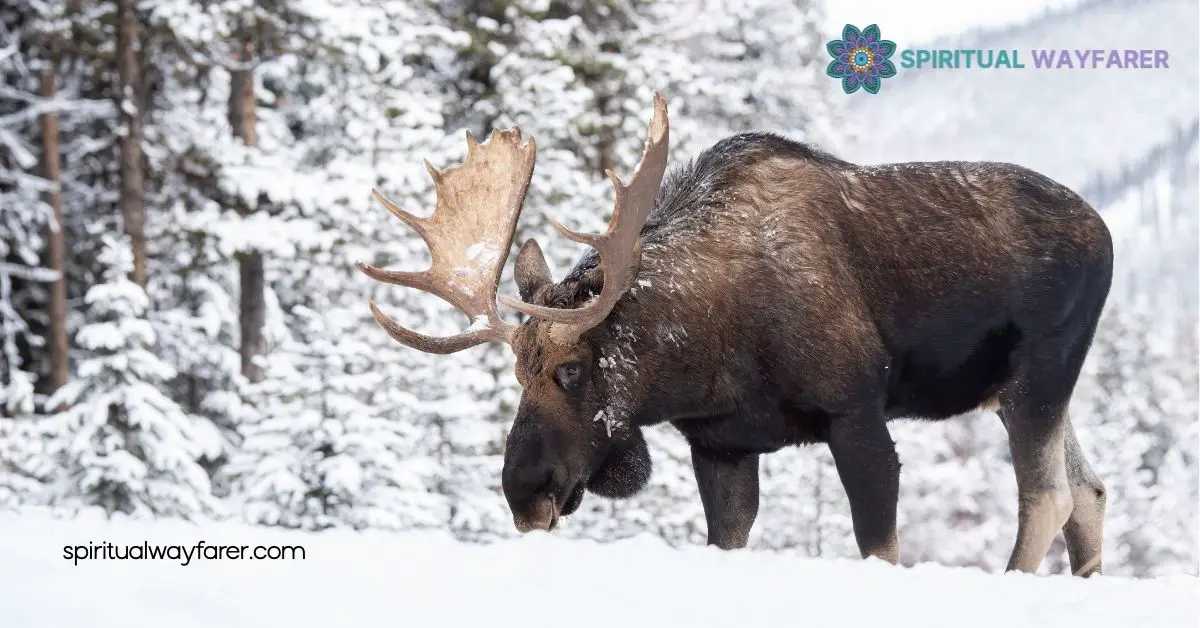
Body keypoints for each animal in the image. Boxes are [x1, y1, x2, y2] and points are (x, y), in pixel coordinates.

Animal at [357, 92, 1113, 576]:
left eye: (572, 369)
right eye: (517, 372)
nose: (524, 491)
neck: (705, 358)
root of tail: (1104, 233)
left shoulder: (857, 413)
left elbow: (879, 546)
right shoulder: (720, 446)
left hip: (1041, 373)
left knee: (1049, 497)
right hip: (1022, 392)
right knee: (1091, 492)